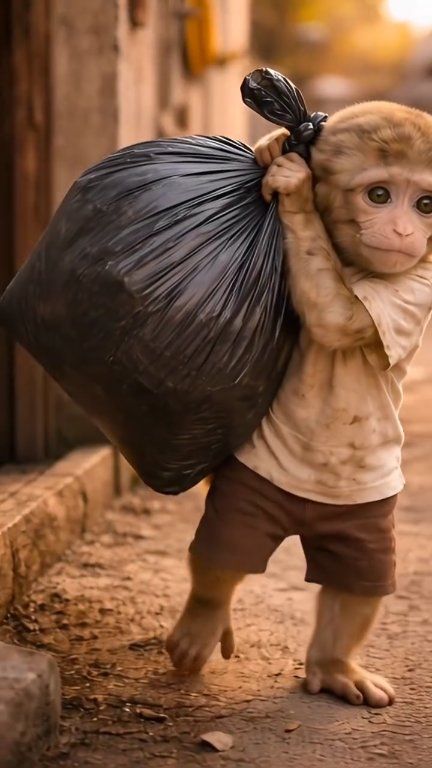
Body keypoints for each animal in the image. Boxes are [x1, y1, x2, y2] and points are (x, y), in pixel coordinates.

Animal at [166, 101, 432, 708]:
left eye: (426, 205)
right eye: (379, 195)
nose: (404, 230)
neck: (352, 261)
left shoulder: (416, 287)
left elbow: (340, 319)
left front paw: (296, 186)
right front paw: (277, 154)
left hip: (363, 523)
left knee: (356, 586)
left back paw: (334, 668)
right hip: (252, 497)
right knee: (221, 556)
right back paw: (203, 623)